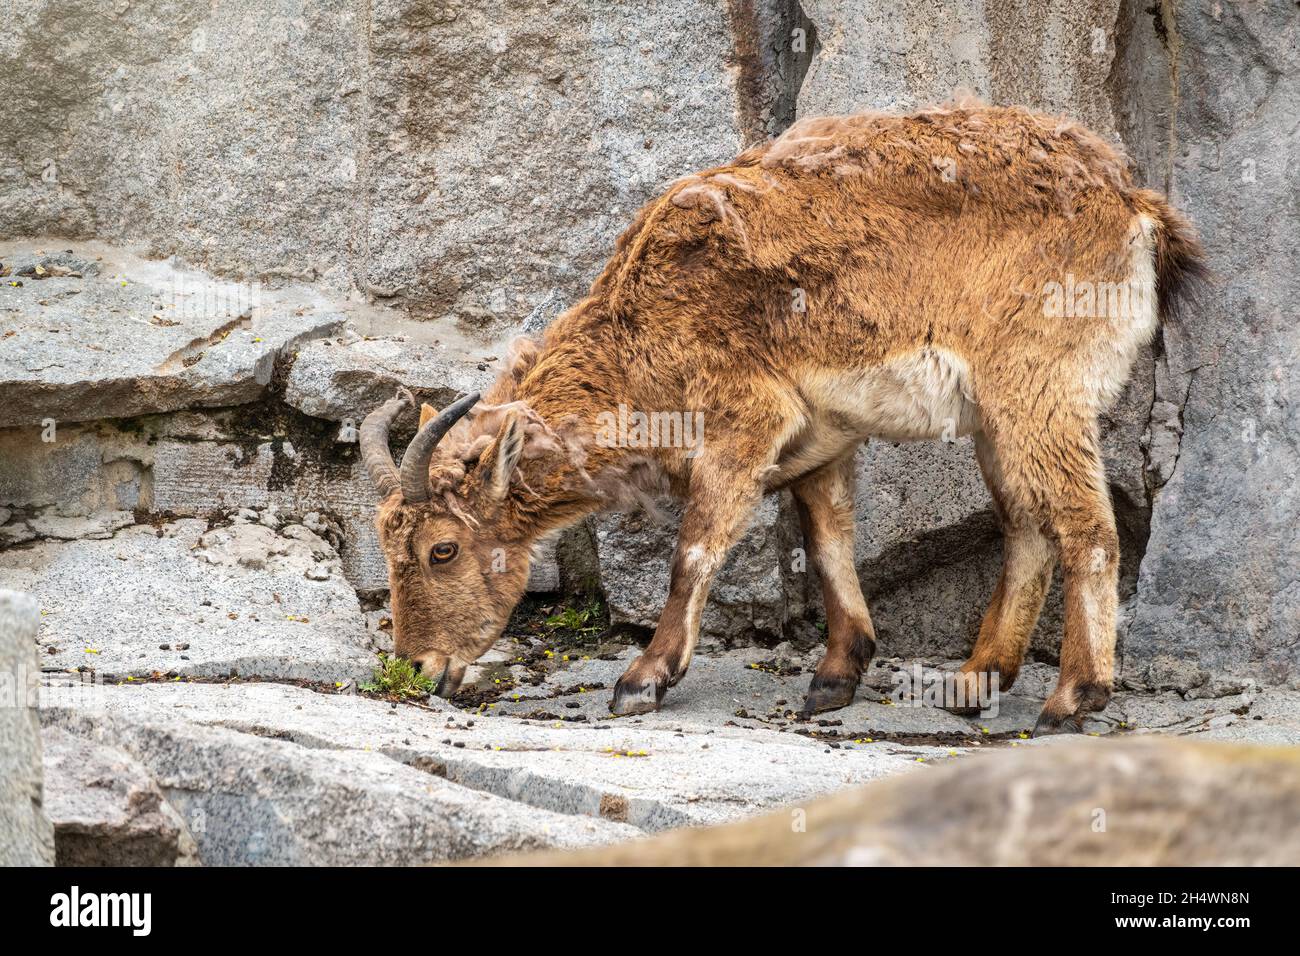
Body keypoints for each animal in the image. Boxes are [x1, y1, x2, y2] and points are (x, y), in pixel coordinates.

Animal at [359, 102, 1205, 735]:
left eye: (440, 549)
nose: (418, 666)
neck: (642, 324)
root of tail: (1136, 210)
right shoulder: (821, 440)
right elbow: (829, 546)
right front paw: (835, 676)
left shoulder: (743, 421)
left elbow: (695, 550)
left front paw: (643, 679)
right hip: (1001, 416)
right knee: (1027, 521)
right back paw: (974, 681)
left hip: (1040, 389)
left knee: (1087, 527)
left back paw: (1072, 697)